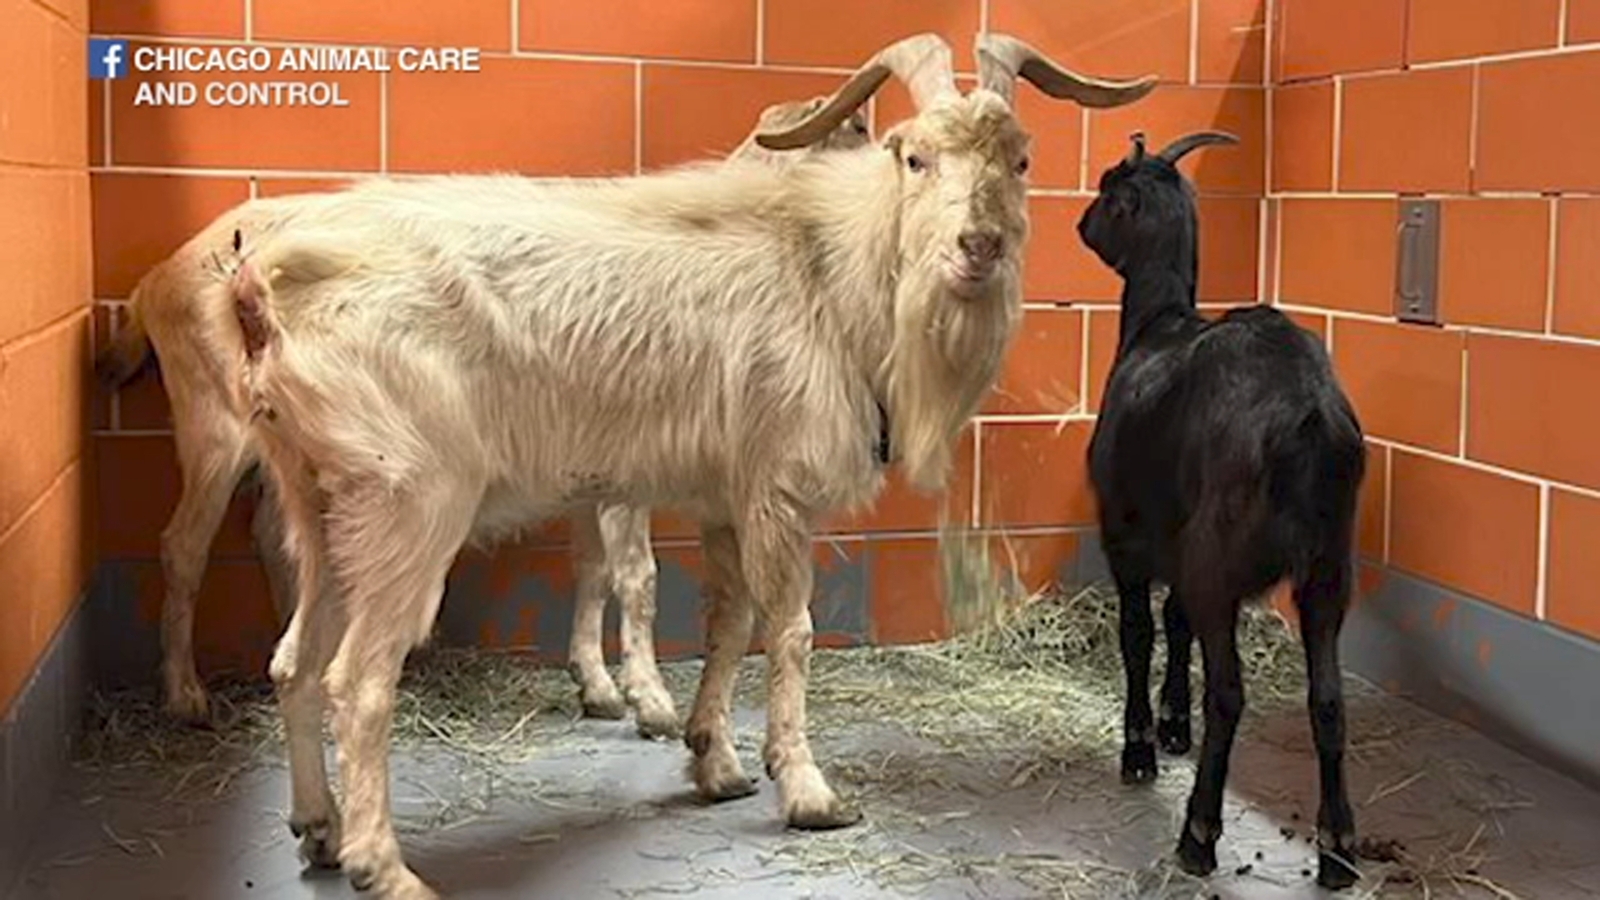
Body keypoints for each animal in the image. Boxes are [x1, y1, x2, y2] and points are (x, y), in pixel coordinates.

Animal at [92, 97, 870, 739]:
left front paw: (596, 685)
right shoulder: (629, 467)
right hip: (214, 429)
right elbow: (637, 575)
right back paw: (185, 695)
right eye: (859, 132)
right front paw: (649, 699)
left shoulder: (589, 461)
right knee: (183, 546)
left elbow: (591, 567)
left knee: (273, 538)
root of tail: (153, 283)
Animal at [227, 33, 1155, 898]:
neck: (824, 268)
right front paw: (807, 790)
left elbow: (730, 623)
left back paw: (318, 828)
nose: (979, 246)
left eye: (1022, 159)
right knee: (359, 680)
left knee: (294, 662)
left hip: (320, 506)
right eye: (914, 156)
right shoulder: (779, 487)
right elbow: (790, 630)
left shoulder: (725, 497)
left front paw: (716, 761)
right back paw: (383, 865)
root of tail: (262, 283)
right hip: (409, 502)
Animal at [1078, 132, 1366, 889]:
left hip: (1223, 556)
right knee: (1328, 697)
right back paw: (1338, 847)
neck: (1156, 327)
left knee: (1231, 691)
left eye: (1108, 187)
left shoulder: (1126, 534)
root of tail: (1309, 420)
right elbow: (1177, 623)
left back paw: (1198, 835)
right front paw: (1173, 723)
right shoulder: (1183, 542)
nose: (1083, 223)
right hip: (1329, 567)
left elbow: (1139, 631)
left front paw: (1142, 745)